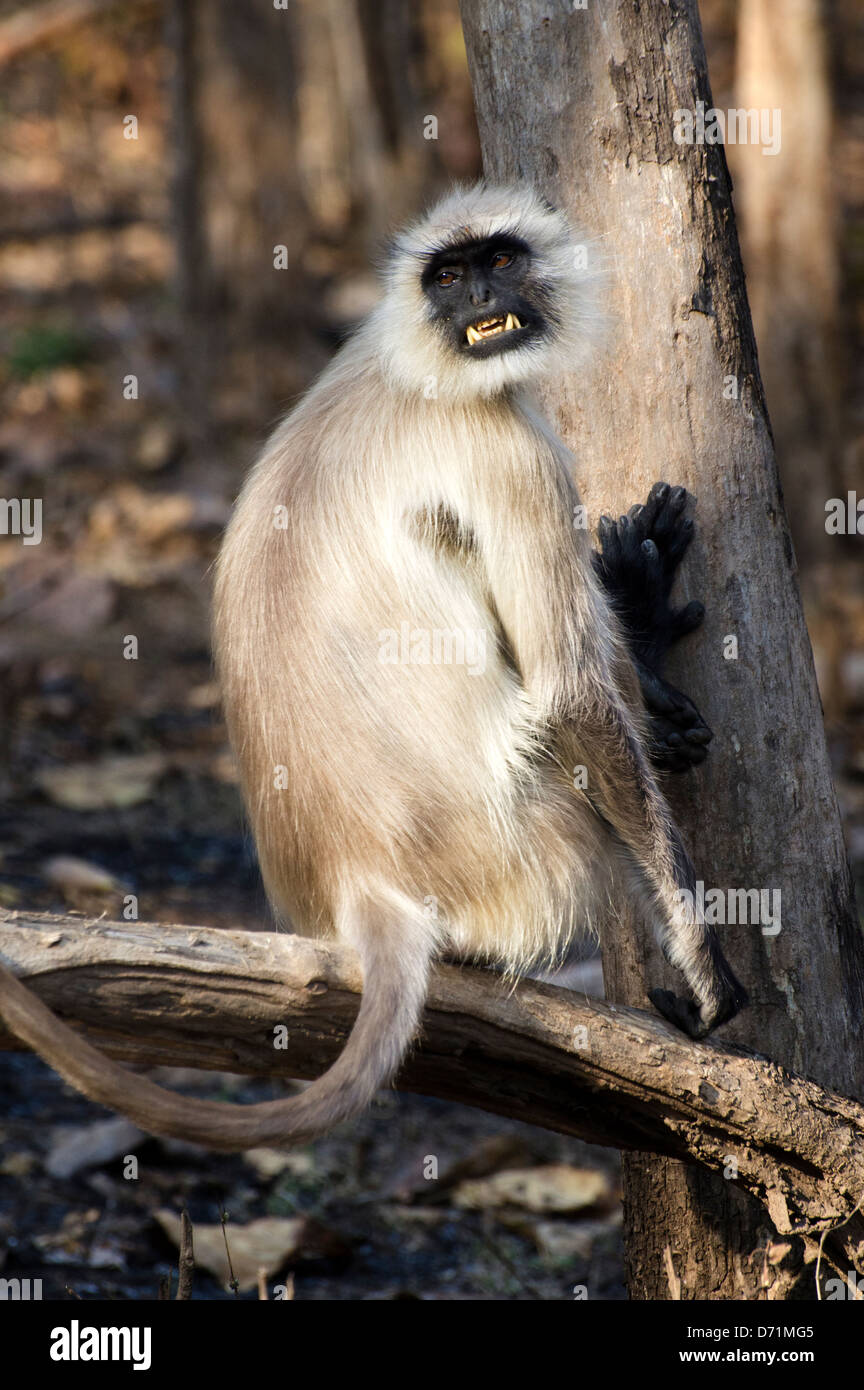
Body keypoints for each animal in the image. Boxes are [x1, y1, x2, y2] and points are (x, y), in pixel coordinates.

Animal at [0, 183, 747, 1150]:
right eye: (447, 277)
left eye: (499, 260)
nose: (478, 300)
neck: (409, 366)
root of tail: (362, 882)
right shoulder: (508, 449)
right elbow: (573, 692)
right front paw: (702, 956)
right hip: (535, 844)